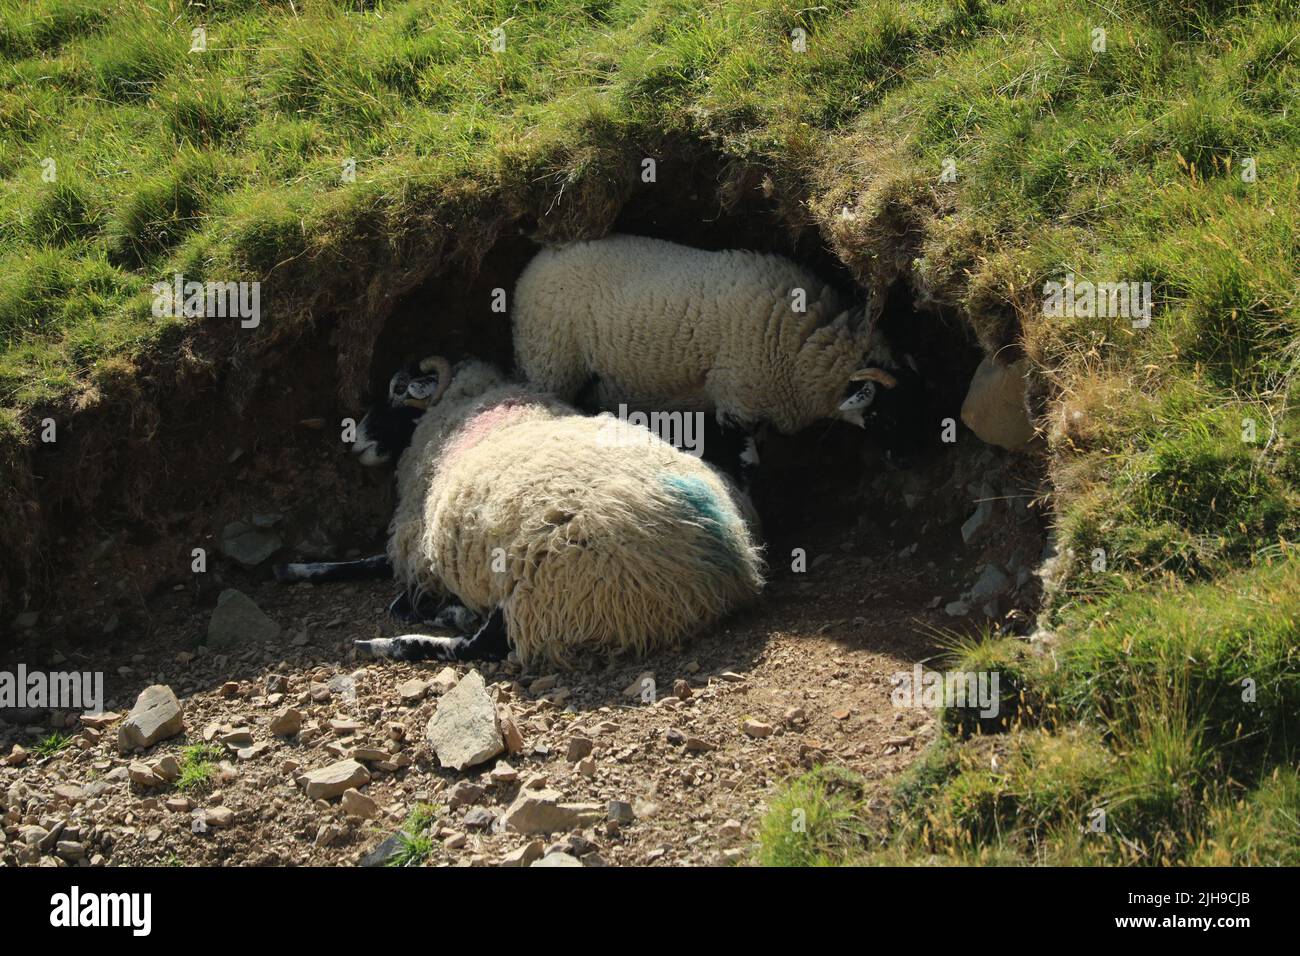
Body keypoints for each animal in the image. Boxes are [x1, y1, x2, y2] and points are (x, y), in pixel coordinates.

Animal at [276, 358, 765, 669]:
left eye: (398, 392)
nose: (354, 442)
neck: (459, 406)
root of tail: (724, 559)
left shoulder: (418, 547)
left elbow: (381, 575)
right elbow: (364, 562)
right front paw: (295, 569)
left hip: (542, 585)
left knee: (483, 648)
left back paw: (393, 640)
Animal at [511, 234, 911, 480]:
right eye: (885, 414)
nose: (908, 458)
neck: (801, 342)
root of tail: (537, 259)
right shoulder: (738, 400)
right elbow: (746, 464)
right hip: (550, 361)